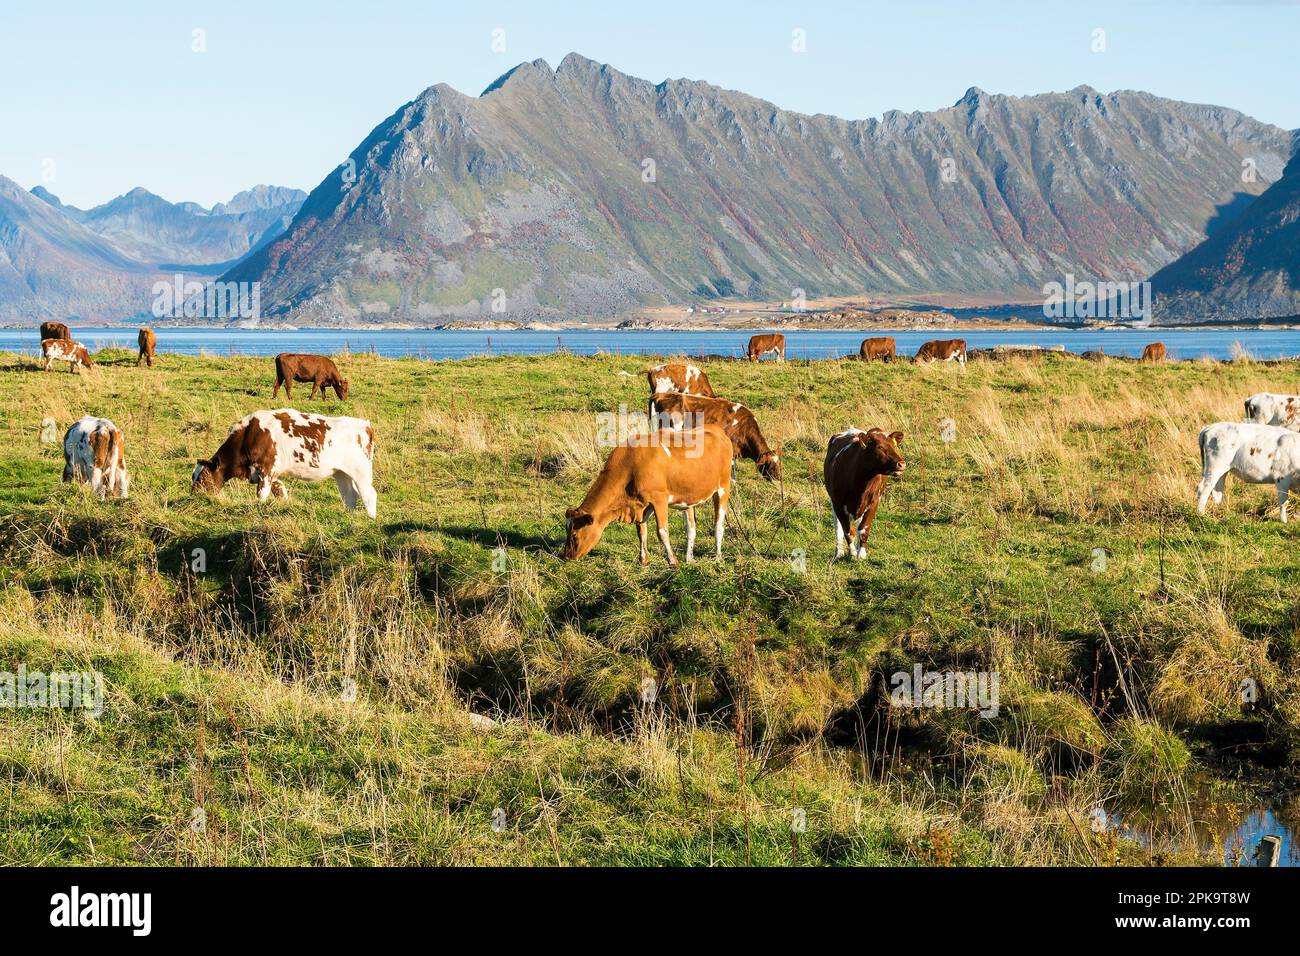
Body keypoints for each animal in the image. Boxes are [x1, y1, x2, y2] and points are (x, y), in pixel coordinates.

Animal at [191, 409, 377, 517]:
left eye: (203, 478)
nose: (193, 496)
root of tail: (365, 424)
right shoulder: (271, 472)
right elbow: (279, 489)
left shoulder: (266, 468)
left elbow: (262, 494)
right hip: (341, 473)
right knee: (349, 495)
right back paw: (349, 517)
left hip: (361, 471)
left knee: (369, 494)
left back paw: (371, 519)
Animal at [563, 424, 732, 566]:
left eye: (575, 535)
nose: (566, 556)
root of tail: (718, 430)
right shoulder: (641, 505)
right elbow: (641, 532)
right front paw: (643, 560)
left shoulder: (659, 500)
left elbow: (662, 532)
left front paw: (672, 562)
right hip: (688, 498)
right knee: (690, 529)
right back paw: (689, 559)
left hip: (723, 488)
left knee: (718, 526)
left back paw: (718, 557)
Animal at [823, 427, 906, 559]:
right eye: (879, 447)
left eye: (893, 446)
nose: (902, 464)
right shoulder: (837, 503)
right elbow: (847, 531)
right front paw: (852, 553)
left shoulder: (874, 502)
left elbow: (863, 529)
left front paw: (861, 554)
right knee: (838, 527)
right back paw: (839, 552)